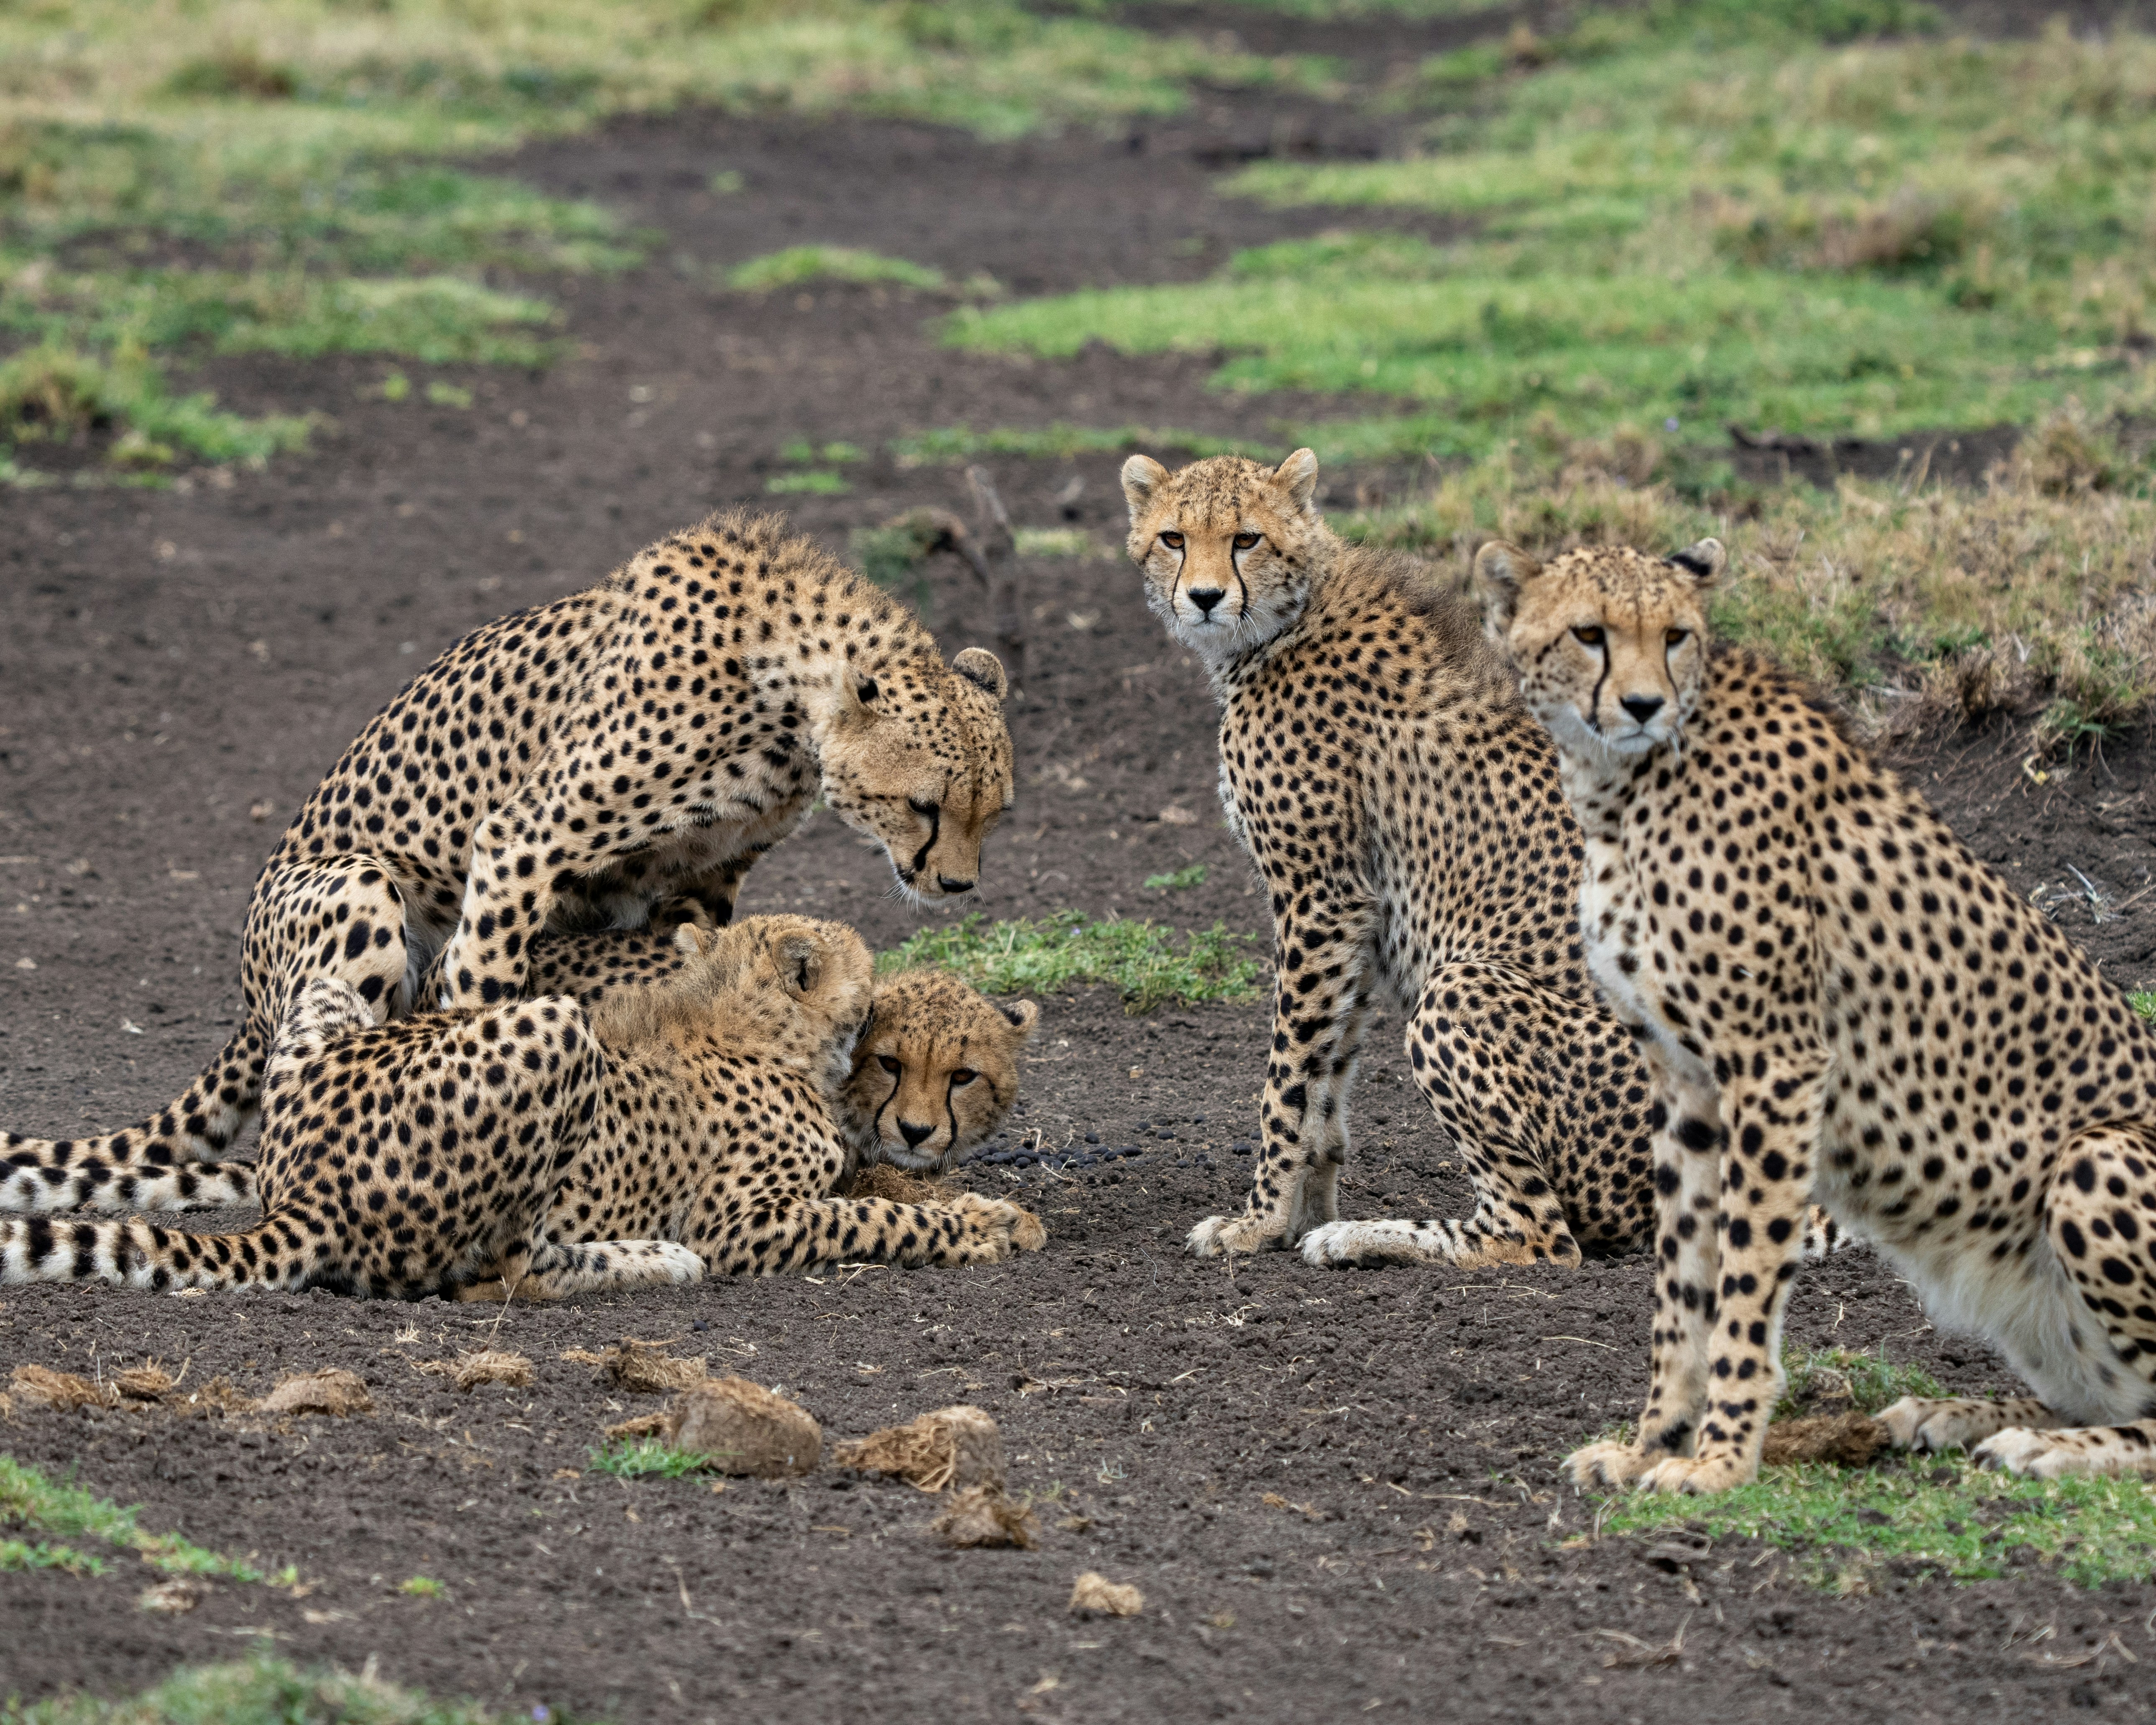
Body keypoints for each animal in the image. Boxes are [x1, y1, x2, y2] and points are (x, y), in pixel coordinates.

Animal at [0, 510, 1013, 1218]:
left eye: (991, 814)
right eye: (925, 806)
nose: (956, 885)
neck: (784, 701)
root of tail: (247, 1002)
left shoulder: (698, 883)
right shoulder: (526, 837)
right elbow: (483, 981)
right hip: (357, 884)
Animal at [1475, 533, 2156, 1486]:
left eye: (1676, 636)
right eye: (1589, 633)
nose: (1643, 704)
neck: (1623, 783)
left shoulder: (1775, 1063)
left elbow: (1745, 1276)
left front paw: (1718, 1463)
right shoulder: (1684, 1080)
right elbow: (1682, 1280)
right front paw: (1650, 1443)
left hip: (2095, 1154)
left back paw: (2041, 1446)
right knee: (2097, 1390)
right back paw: (1950, 1415)